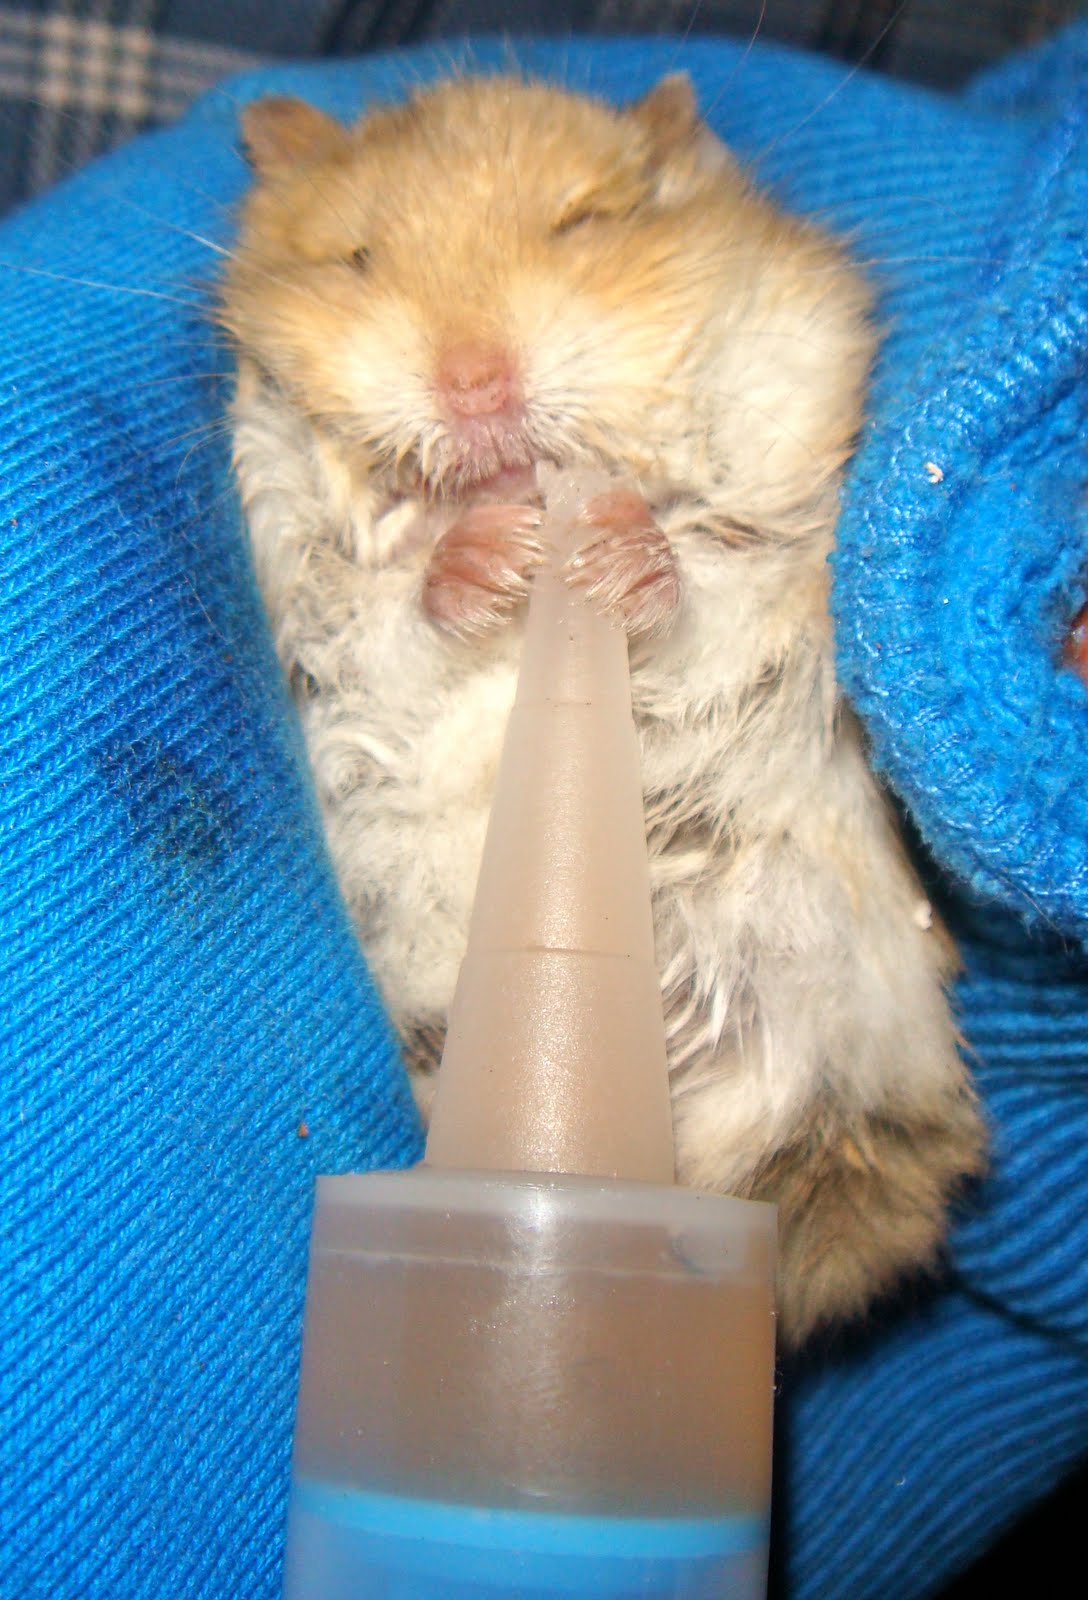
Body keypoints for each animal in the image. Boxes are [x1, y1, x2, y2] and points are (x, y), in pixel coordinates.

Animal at [219, 72, 985, 1346]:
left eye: (583, 222)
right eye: (356, 256)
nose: (475, 381)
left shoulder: (776, 542)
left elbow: (707, 587)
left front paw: (617, 550)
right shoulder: (325, 639)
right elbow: (392, 620)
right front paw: (487, 557)